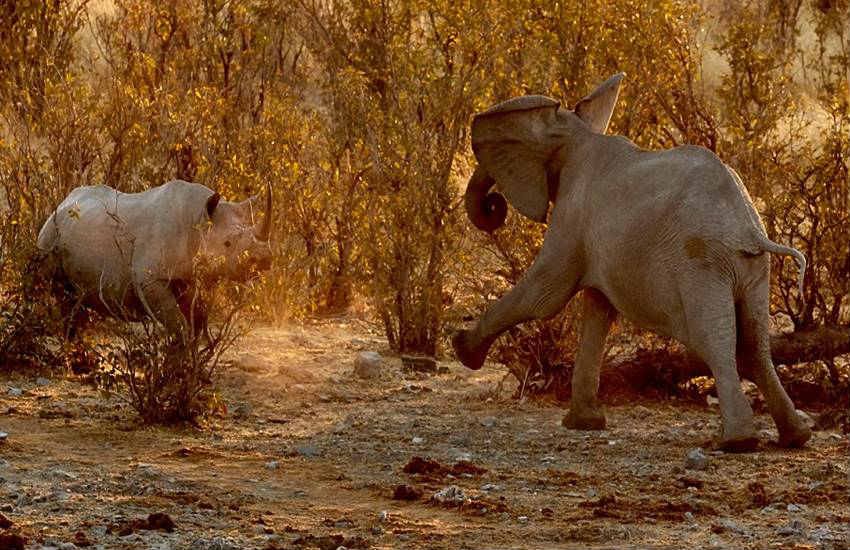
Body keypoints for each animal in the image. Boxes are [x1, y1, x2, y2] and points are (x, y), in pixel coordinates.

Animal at [37, 180, 273, 337]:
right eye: (227, 243)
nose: (264, 259)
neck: (197, 221)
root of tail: (63, 201)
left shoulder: (194, 279)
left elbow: (196, 325)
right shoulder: (149, 280)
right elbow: (179, 326)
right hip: (49, 237)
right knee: (60, 293)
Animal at [452, 73, 811, 452]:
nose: (493, 205)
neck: (577, 131)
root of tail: (748, 229)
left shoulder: (572, 214)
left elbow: (545, 296)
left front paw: (462, 348)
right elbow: (597, 310)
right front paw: (584, 424)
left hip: (701, 263)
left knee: (715, 338)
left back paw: (735, 442)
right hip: (752, 269)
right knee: (754, 346)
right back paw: (794, 437)